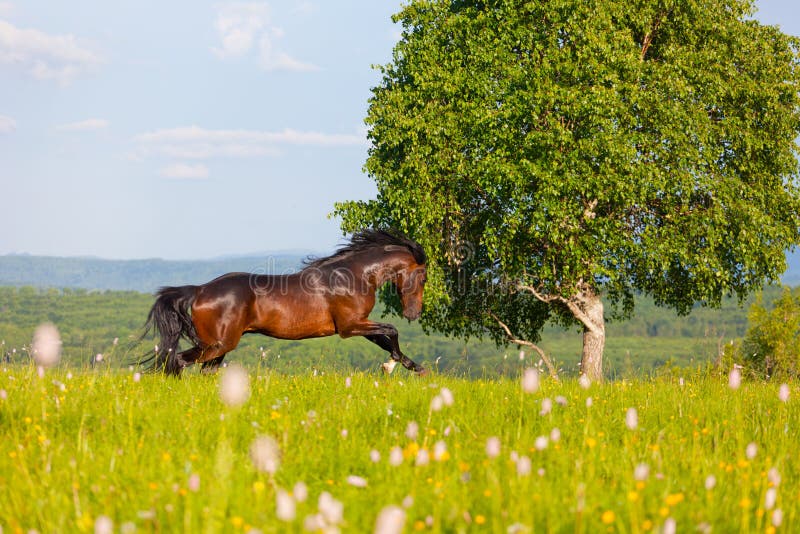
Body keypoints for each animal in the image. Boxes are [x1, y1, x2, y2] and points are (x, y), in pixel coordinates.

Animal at [140, 229, 428, 376]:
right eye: (424, 277)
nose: (413, 314)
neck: (353, 275)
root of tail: (200, 290)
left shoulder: (359, 324)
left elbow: (385, 339)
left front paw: (415, 368)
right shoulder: (350, 327)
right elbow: (392, 331)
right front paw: (392, 365)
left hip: (219, 347)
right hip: (217, 344)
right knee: (178, 361)